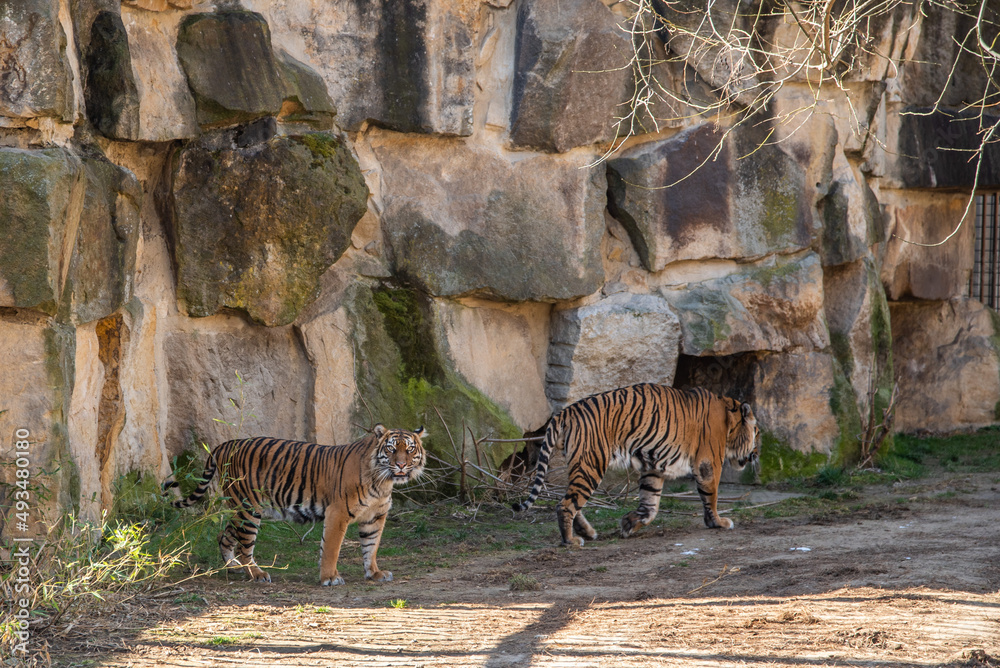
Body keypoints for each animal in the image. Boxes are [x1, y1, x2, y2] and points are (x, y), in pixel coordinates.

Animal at [163, 424, 426, 585]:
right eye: (391, 449)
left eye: (409, 449)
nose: (401, 465)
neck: (383, 481)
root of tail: (224, 445)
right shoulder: (338, 513)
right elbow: (331, 549)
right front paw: (330, 577)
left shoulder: (374, 517)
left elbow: (371, 547)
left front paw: (374, 573)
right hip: (248, 508)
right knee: (244, 546)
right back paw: (257, 574)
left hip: (237, 507)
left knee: (224, 535)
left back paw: (234, 568)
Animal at [512, 384, 759, 546]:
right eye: (757, 432)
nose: (757, 454)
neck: (728, 419)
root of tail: (566, 411)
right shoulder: (708, 463)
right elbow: (711, 496)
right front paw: (718, 522)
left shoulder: (653, 467)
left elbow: (650, 505)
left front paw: (628, 523)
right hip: (591, 465)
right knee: (565, 504)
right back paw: (571, 541)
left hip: (580, 466)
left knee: (570, 501)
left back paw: (588, 533)